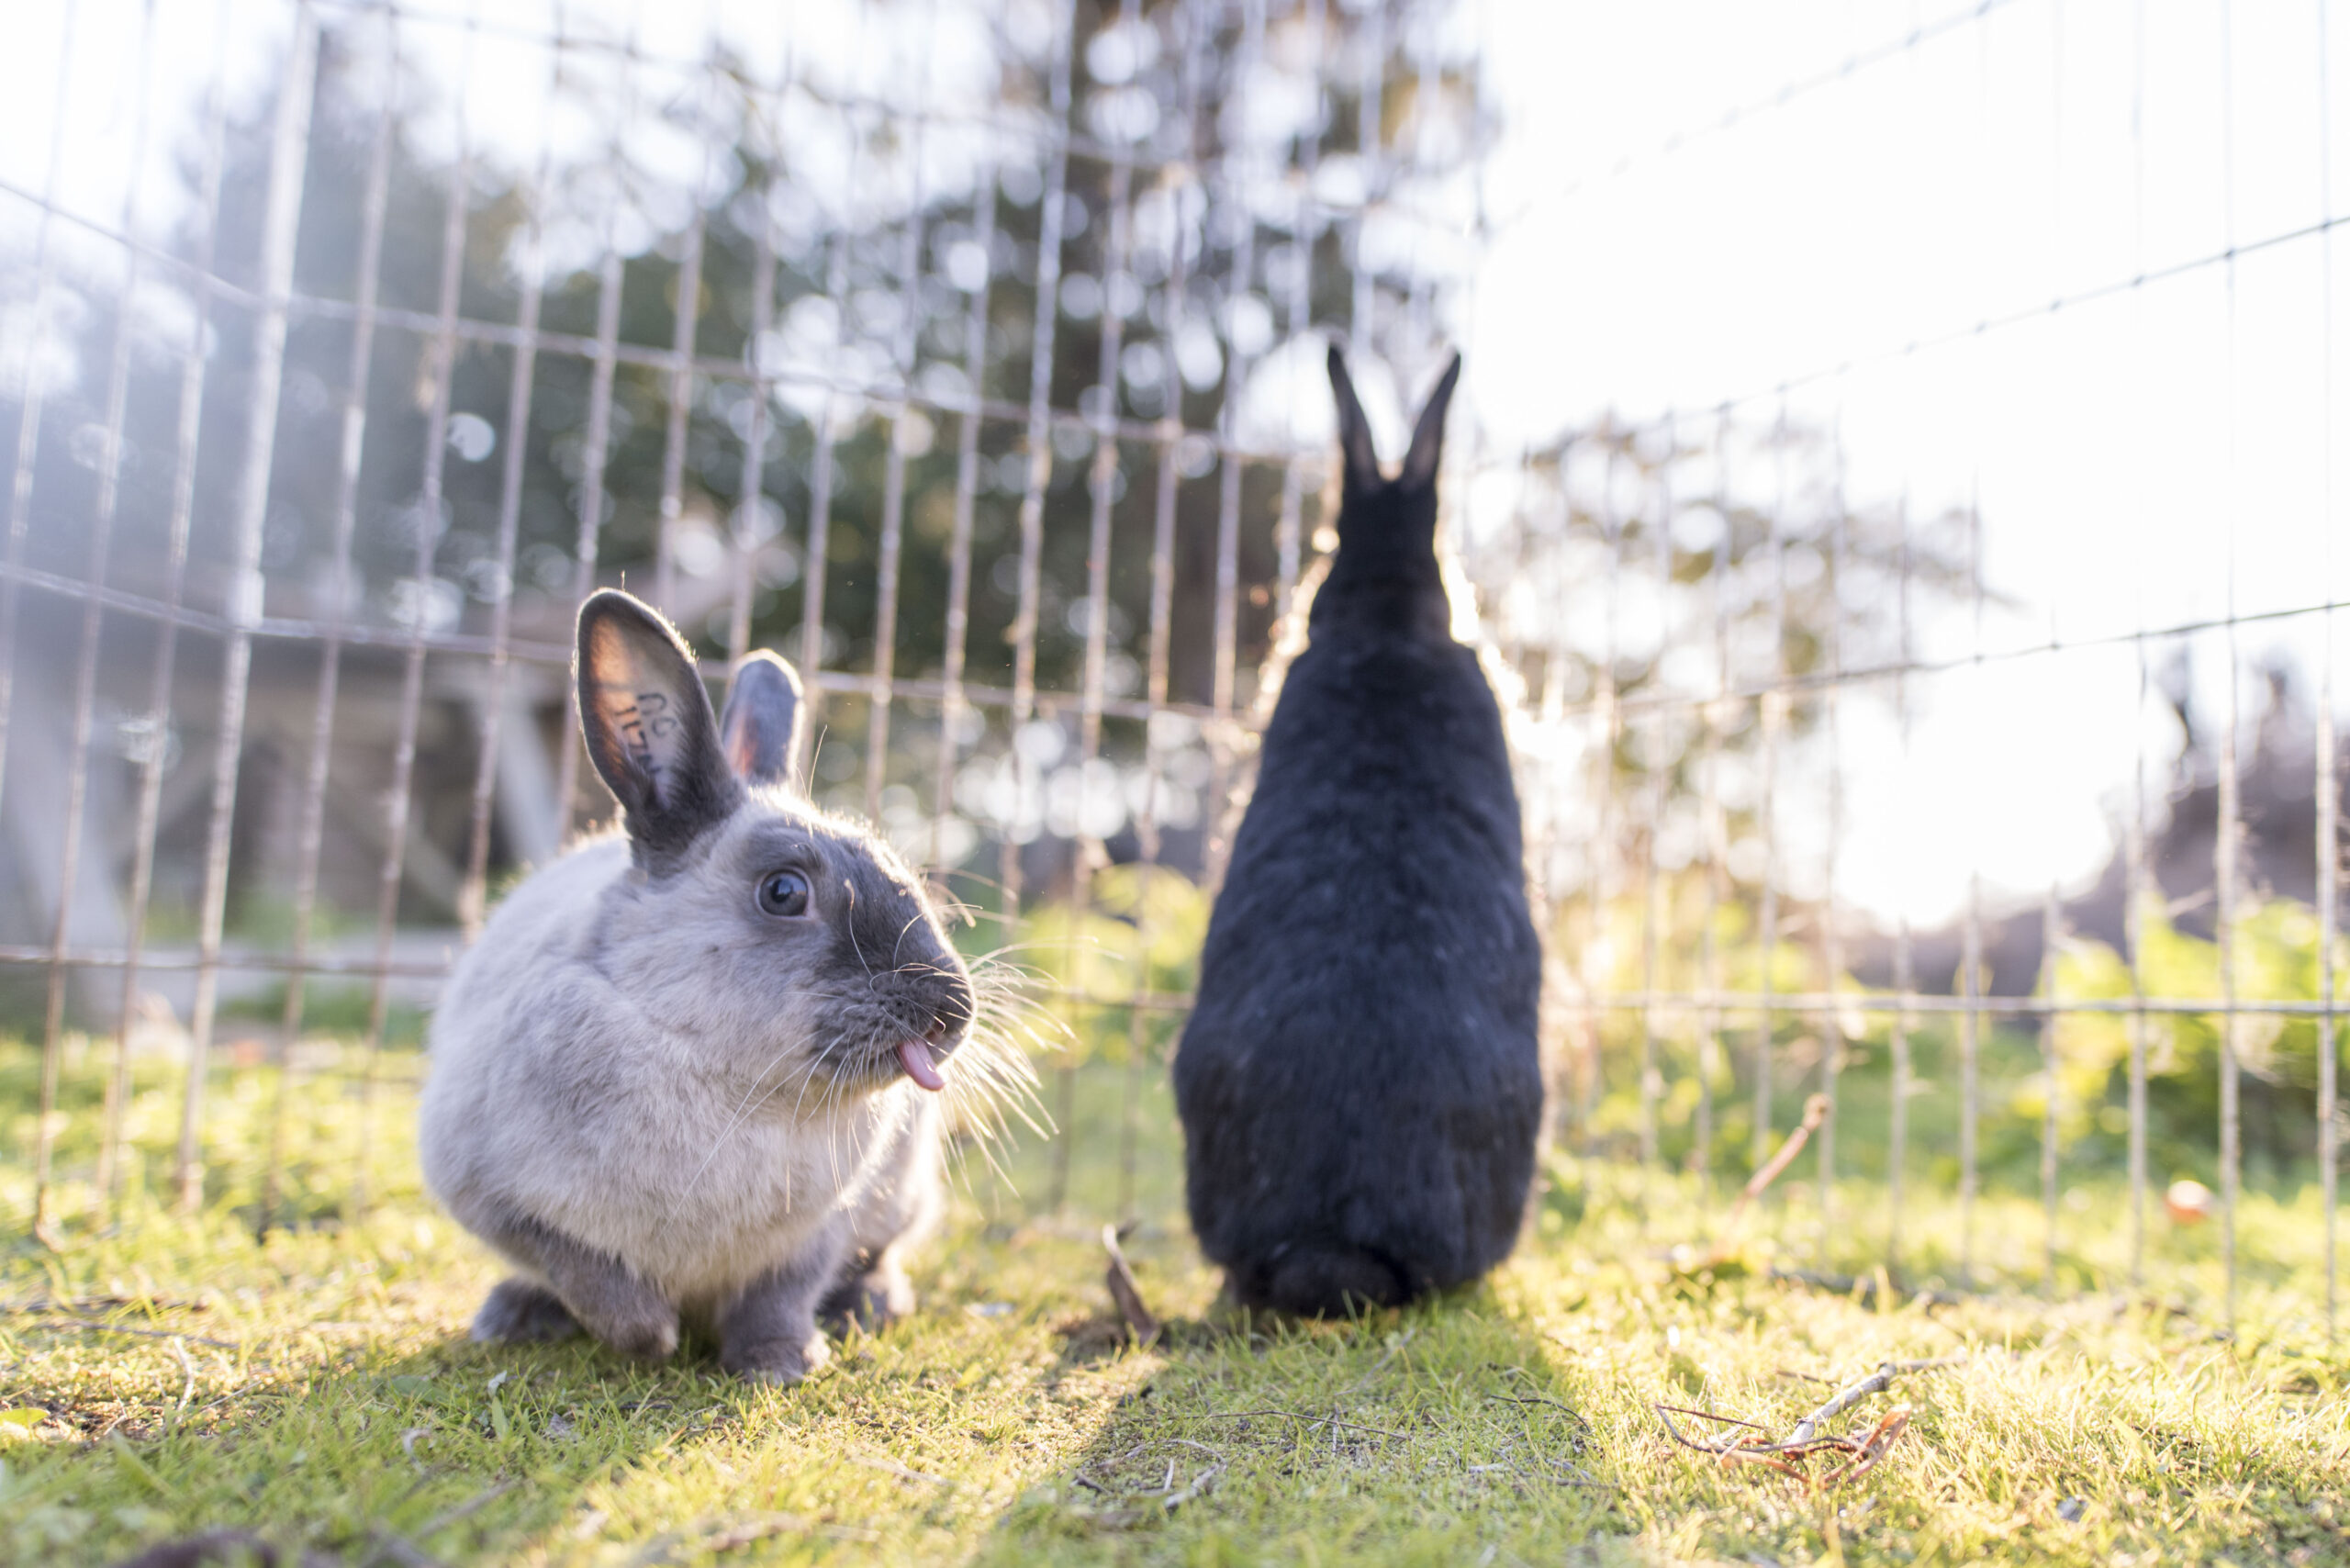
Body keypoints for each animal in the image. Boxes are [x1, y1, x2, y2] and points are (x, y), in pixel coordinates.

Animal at [419, 588, 993, 1383]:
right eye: (783, 892)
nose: (952, 1010)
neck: (721, 1073)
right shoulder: (499, 1201)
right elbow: (585, 1273)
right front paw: (649, 1337)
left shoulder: (818, 1231)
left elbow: (782, 1295)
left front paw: (779, 1363)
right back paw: (514, 1315)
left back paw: (870, 1305)